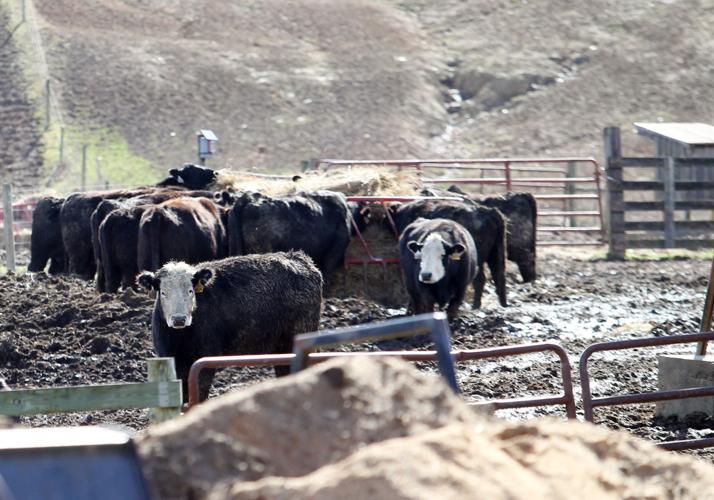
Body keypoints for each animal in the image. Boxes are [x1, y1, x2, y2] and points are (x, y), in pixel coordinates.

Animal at [137, 251, 323, 402]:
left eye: (190, 291)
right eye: (163, 292)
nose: (179, 319)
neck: (180, 339)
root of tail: (300, 258)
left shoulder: (205, 361)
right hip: (281, 348)